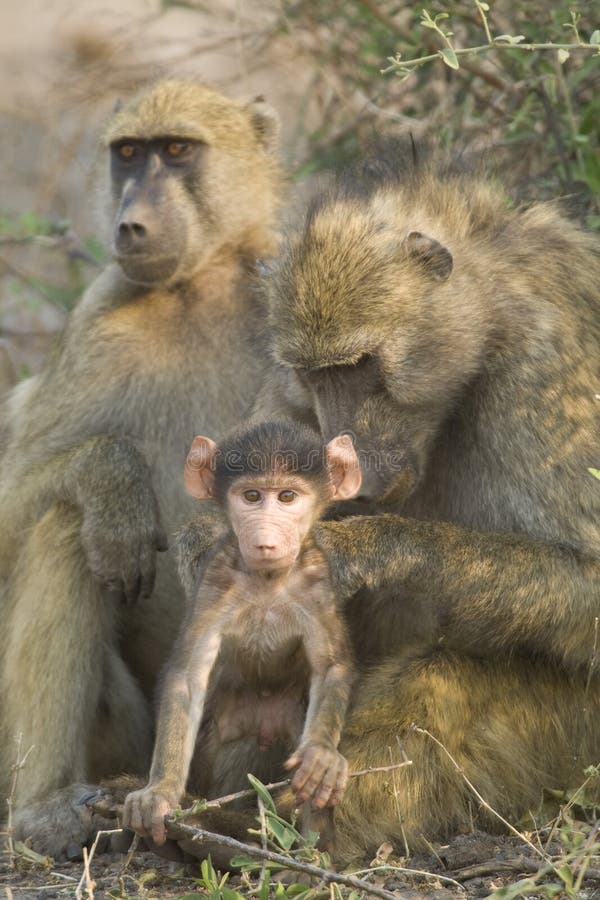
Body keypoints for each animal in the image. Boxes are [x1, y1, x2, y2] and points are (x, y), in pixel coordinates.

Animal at [0, 79, 283, 860]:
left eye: (178, 149)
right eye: (127, 154)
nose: (131, 225)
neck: (194, 291)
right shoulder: (95, 322)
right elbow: (18, 507)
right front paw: (117, 486)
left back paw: (224, 826)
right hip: (122, 741)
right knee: (66, 526)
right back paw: (47, 809)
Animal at [123, 421, 361, 854]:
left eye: (287, 496)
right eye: (251, 496)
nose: (265, 540)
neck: (267, 579)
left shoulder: (318, 581)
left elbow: (332, 667)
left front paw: (321, 756)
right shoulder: (215, 578)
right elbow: (188, 676)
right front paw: (159, 792)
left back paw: (315, 855)